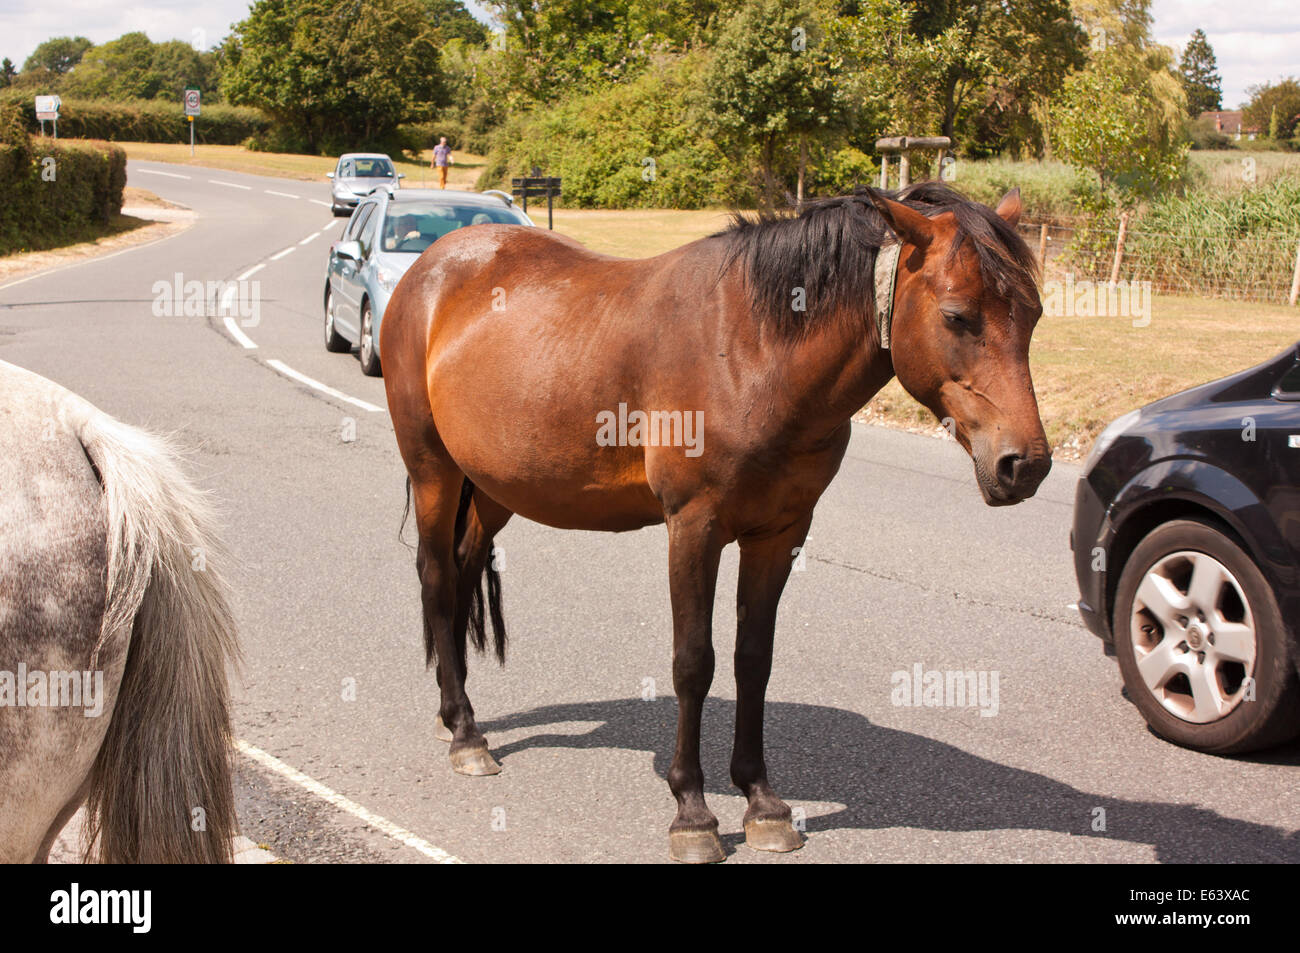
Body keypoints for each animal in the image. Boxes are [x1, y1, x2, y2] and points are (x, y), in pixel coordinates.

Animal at [379, 182, 1051, 863]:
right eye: (957, 316)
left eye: (1033, 315)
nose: (1025, 465)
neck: (752, 351)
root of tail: (433, 267)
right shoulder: (693, 529)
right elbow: (693, 663)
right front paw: (692, 811)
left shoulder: (779, 535)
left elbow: (753, 659)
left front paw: (761, 801)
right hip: (434, 468)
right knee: (437, 580)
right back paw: (466, 735)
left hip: (495, 485)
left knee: (463, 572)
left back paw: (455, 714)